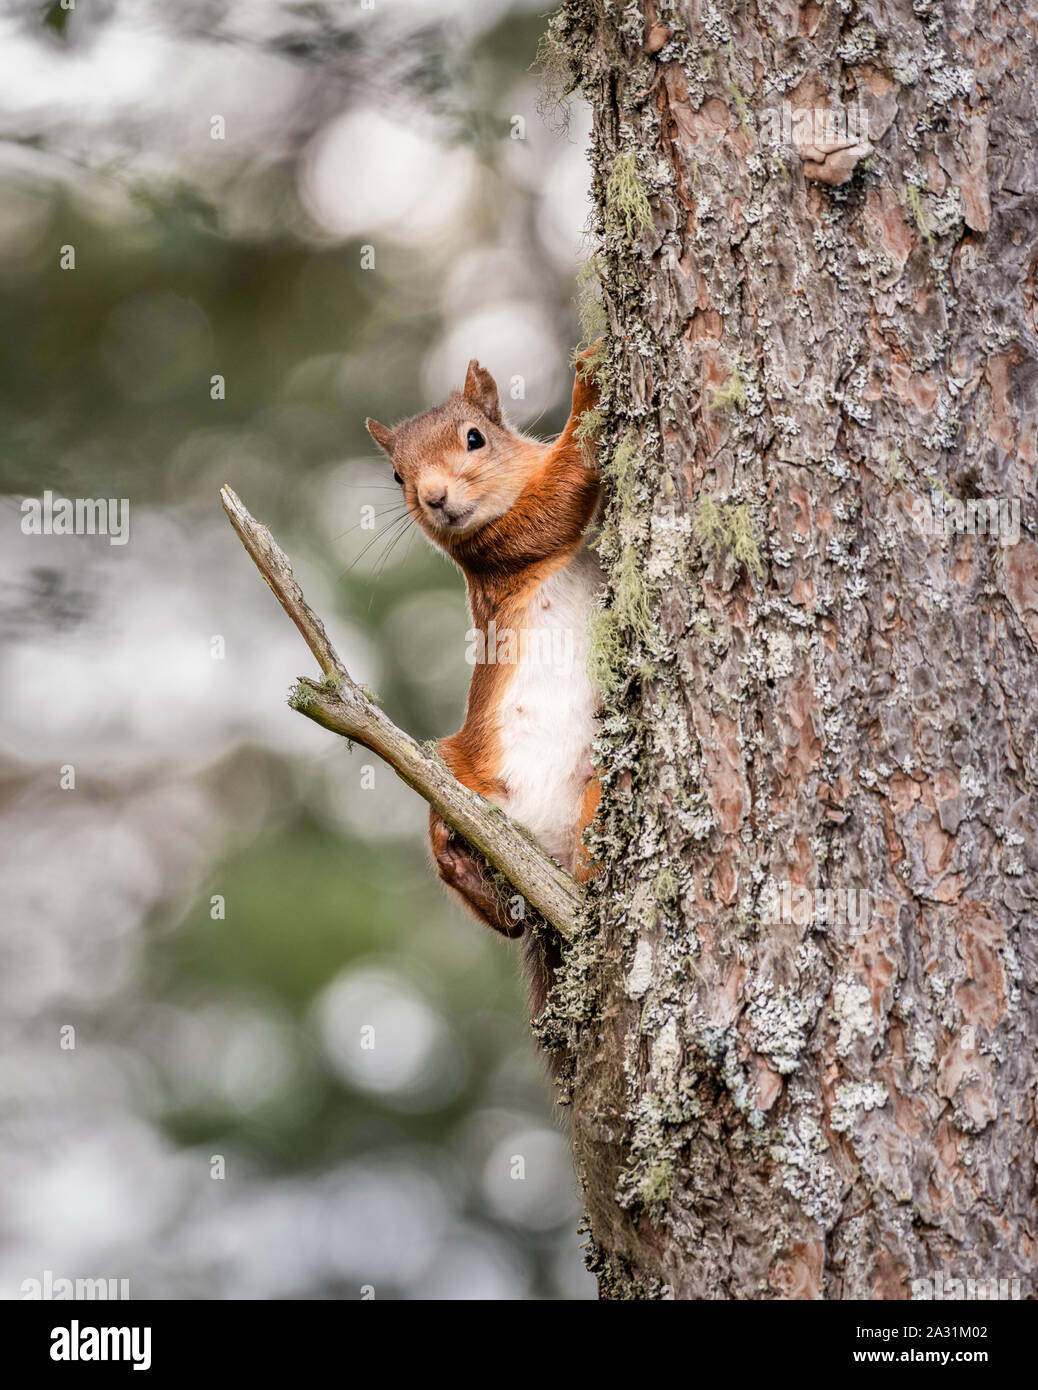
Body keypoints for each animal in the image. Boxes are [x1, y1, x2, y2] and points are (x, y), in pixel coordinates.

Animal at [366, 347, 602, 1019]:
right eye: (397, 476)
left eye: (475, 438)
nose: (434, 496)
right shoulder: (498, 552)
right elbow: (560, 500)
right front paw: (589, 380)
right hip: (454, 774)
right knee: (498, 916)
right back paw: (461, 863)